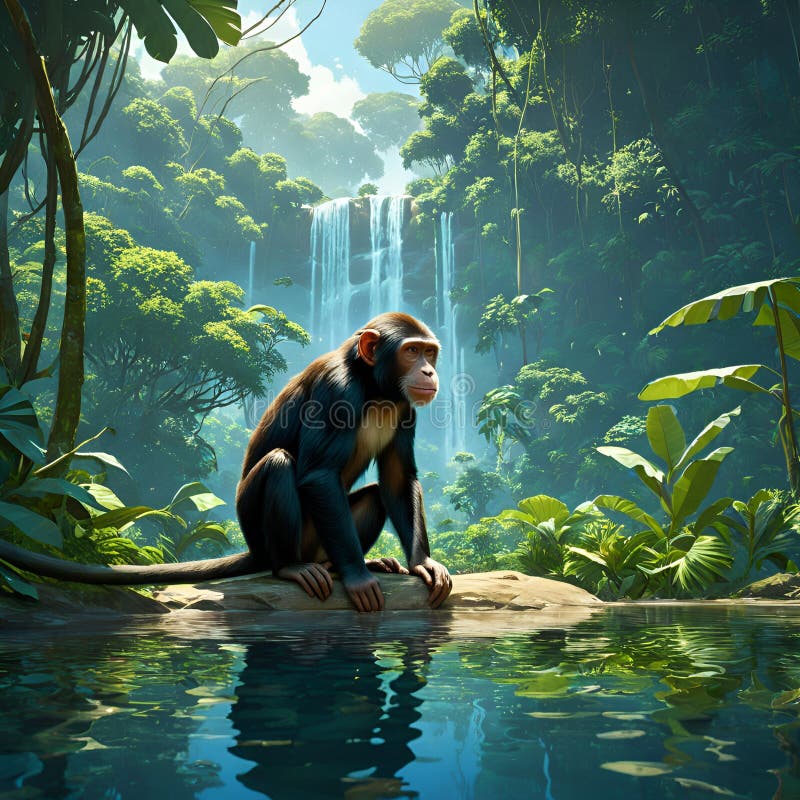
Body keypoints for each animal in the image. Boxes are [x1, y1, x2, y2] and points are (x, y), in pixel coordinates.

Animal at [0, 313, 452, 612]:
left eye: (430, 353)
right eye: (411, 351)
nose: (429, 371)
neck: (374, 387)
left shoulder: (404, 407)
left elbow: (398, 478)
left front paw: (422, 563)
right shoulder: (335, 389)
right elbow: (320, 475)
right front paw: (359, 578)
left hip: (320, 541)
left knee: (373, 496)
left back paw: (347, 564)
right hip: (268, 536)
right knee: (279, 465)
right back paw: (296, 568)